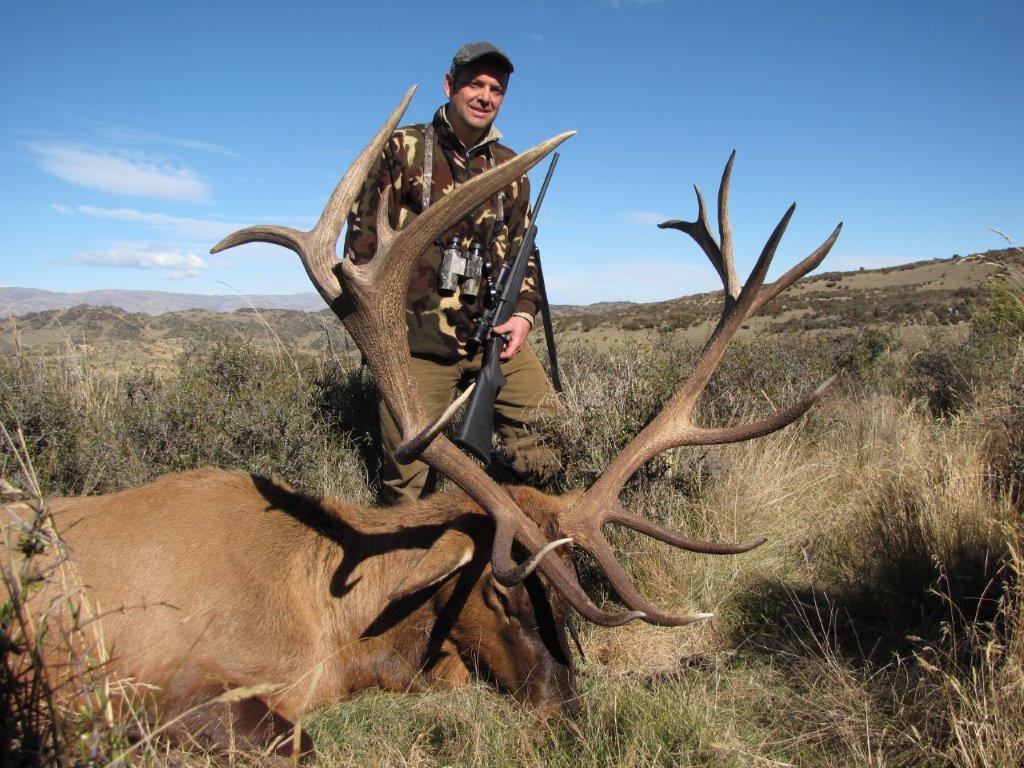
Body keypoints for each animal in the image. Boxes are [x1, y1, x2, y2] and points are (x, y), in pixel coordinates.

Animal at [4, 86, 841, 759]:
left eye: (570, 601)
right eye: (504, 594)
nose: (571, 720)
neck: (330, 621)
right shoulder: (146, 683)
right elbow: (301, 744)